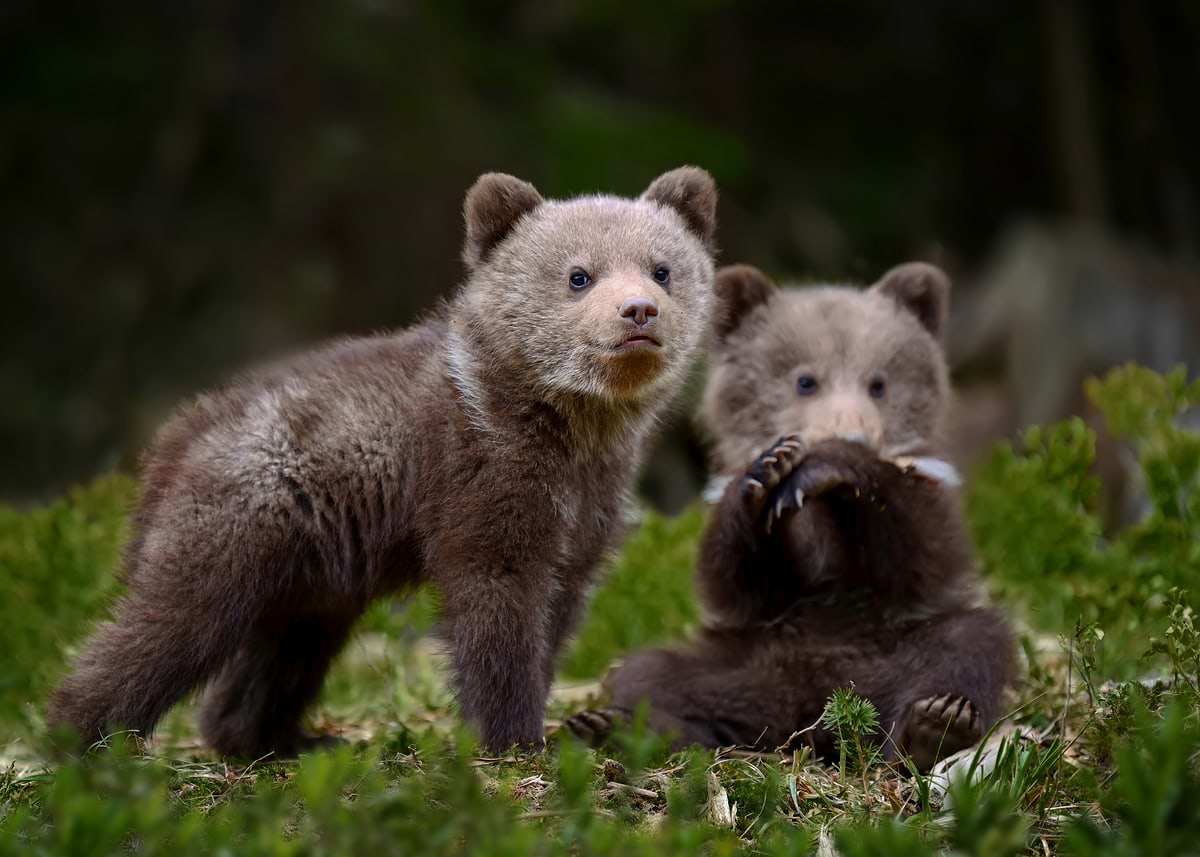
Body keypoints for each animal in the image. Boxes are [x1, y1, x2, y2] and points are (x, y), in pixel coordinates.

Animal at [48, 167, 719, 757]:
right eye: (579, 275)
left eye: (662, 269)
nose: (638, 311)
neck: (569, 423)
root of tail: (178, 436)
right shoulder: (481, 476)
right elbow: (496, 598)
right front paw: (515, 735)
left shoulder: (588, 506)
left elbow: (559, 606)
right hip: (242, 514)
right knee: (172, 622)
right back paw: (79, 733)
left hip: (312, 570)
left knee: (284, 648)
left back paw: (278, 737)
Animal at [565, 262, 1015, 772]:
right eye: (805, 381)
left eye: (879, 383)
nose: (851, 428)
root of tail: (816, 716)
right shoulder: (761, 588)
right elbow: (735, 576)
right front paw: (769, 469)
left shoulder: (929, 494)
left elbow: (920, 555)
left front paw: (832, 464)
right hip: (744, 658)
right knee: (653, 672)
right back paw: (622, 727)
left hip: (896, 649)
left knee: (970, 643)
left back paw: (934, 725)